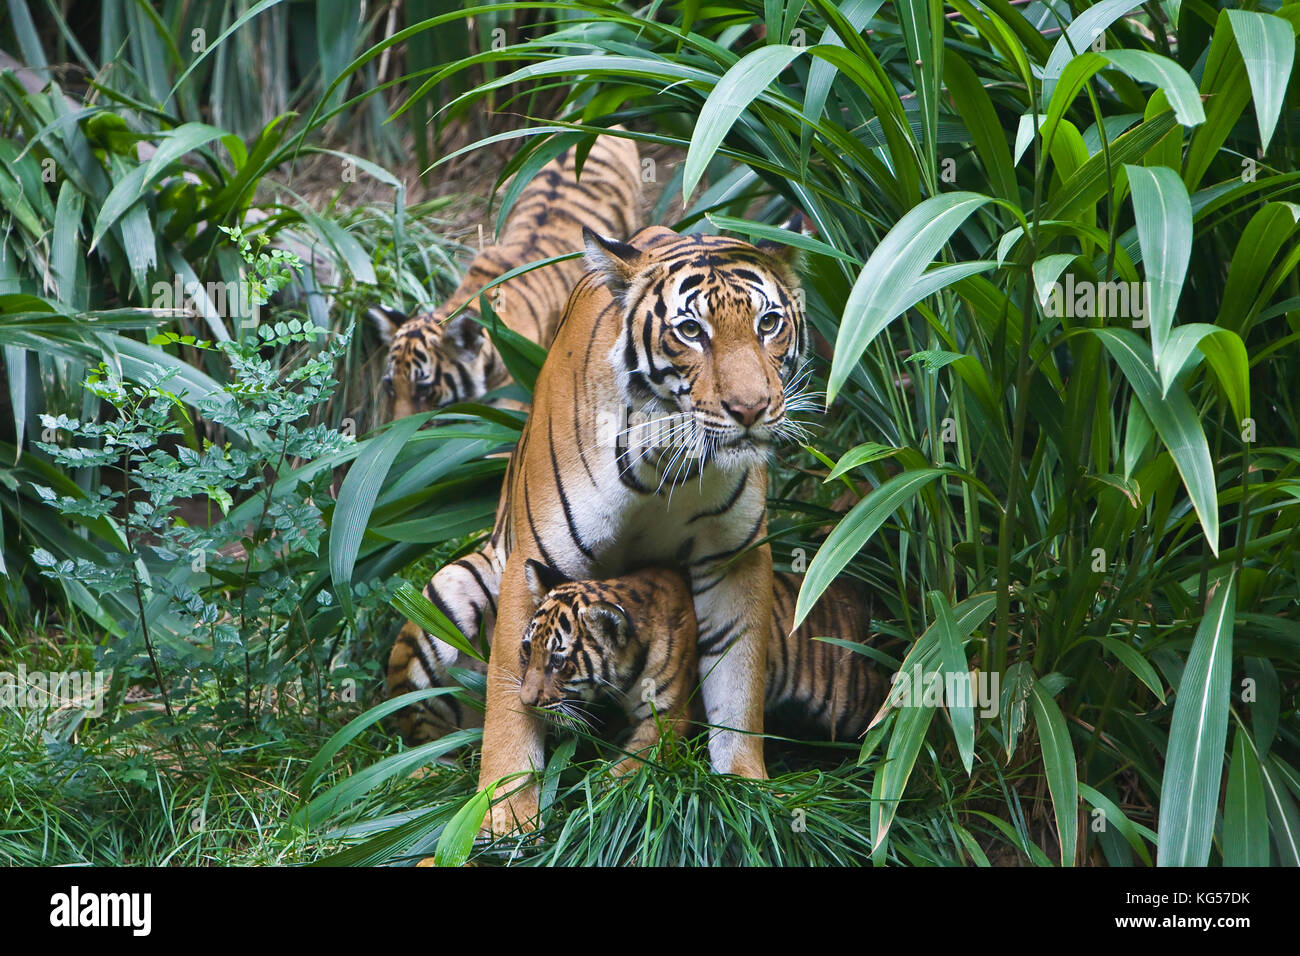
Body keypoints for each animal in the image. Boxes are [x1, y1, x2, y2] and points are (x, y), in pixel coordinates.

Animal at [474, 222, 809, 835]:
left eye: (768, 323)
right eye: (690, 331)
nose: (752, 409)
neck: (668, 460)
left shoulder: (733, 560)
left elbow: (738, 680)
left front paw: (746, 787)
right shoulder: (533, 560)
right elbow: (508, 695)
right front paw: (503, 815)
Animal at [516, 561, 883, 772]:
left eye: (558, 661)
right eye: (526, 649)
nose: (525, 702)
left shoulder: (668, 717)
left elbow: (629, 765)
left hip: (846, 699)